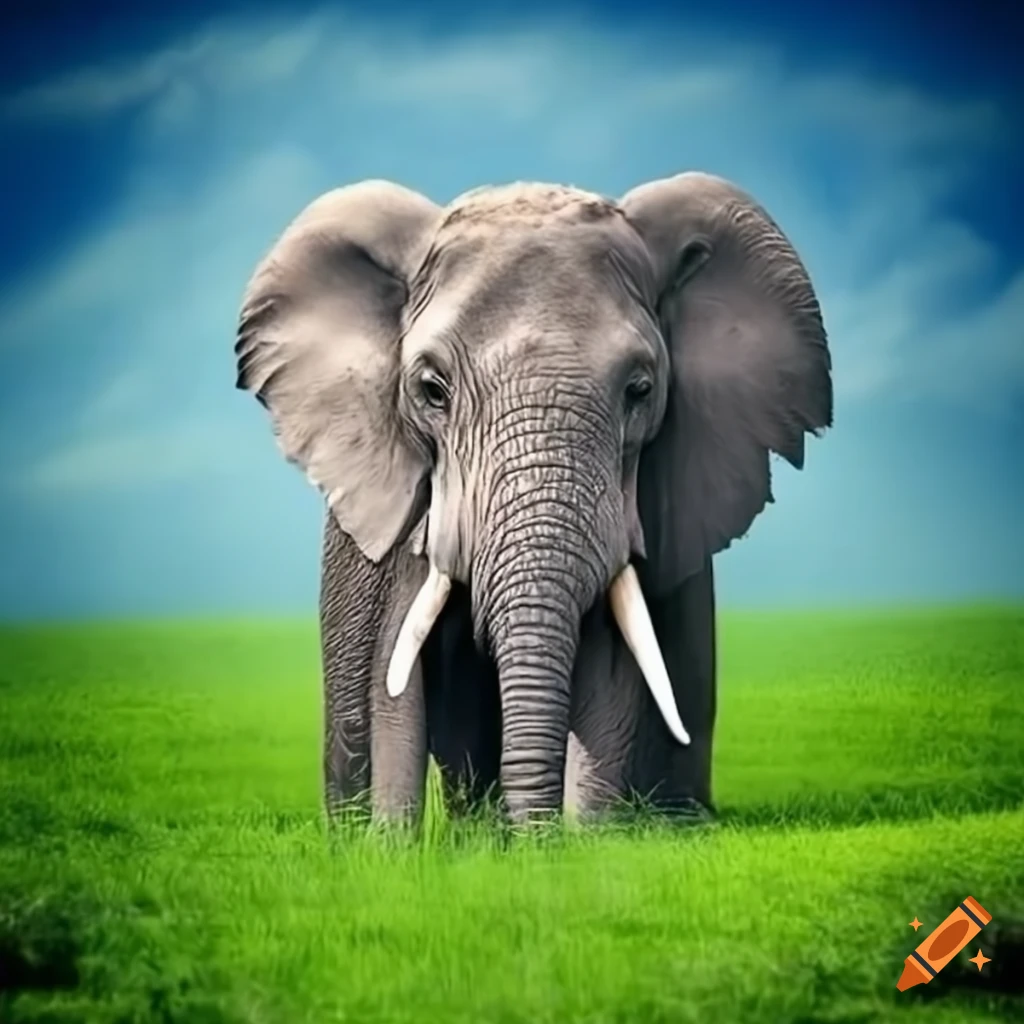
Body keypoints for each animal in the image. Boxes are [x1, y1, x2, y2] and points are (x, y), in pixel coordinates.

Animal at [234, 171, 832, 826]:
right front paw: (390, 843)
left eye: (640, 390)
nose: (531, 832)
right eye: (431, 390)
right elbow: (394, 669)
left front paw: (582, 837)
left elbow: (613, 661)